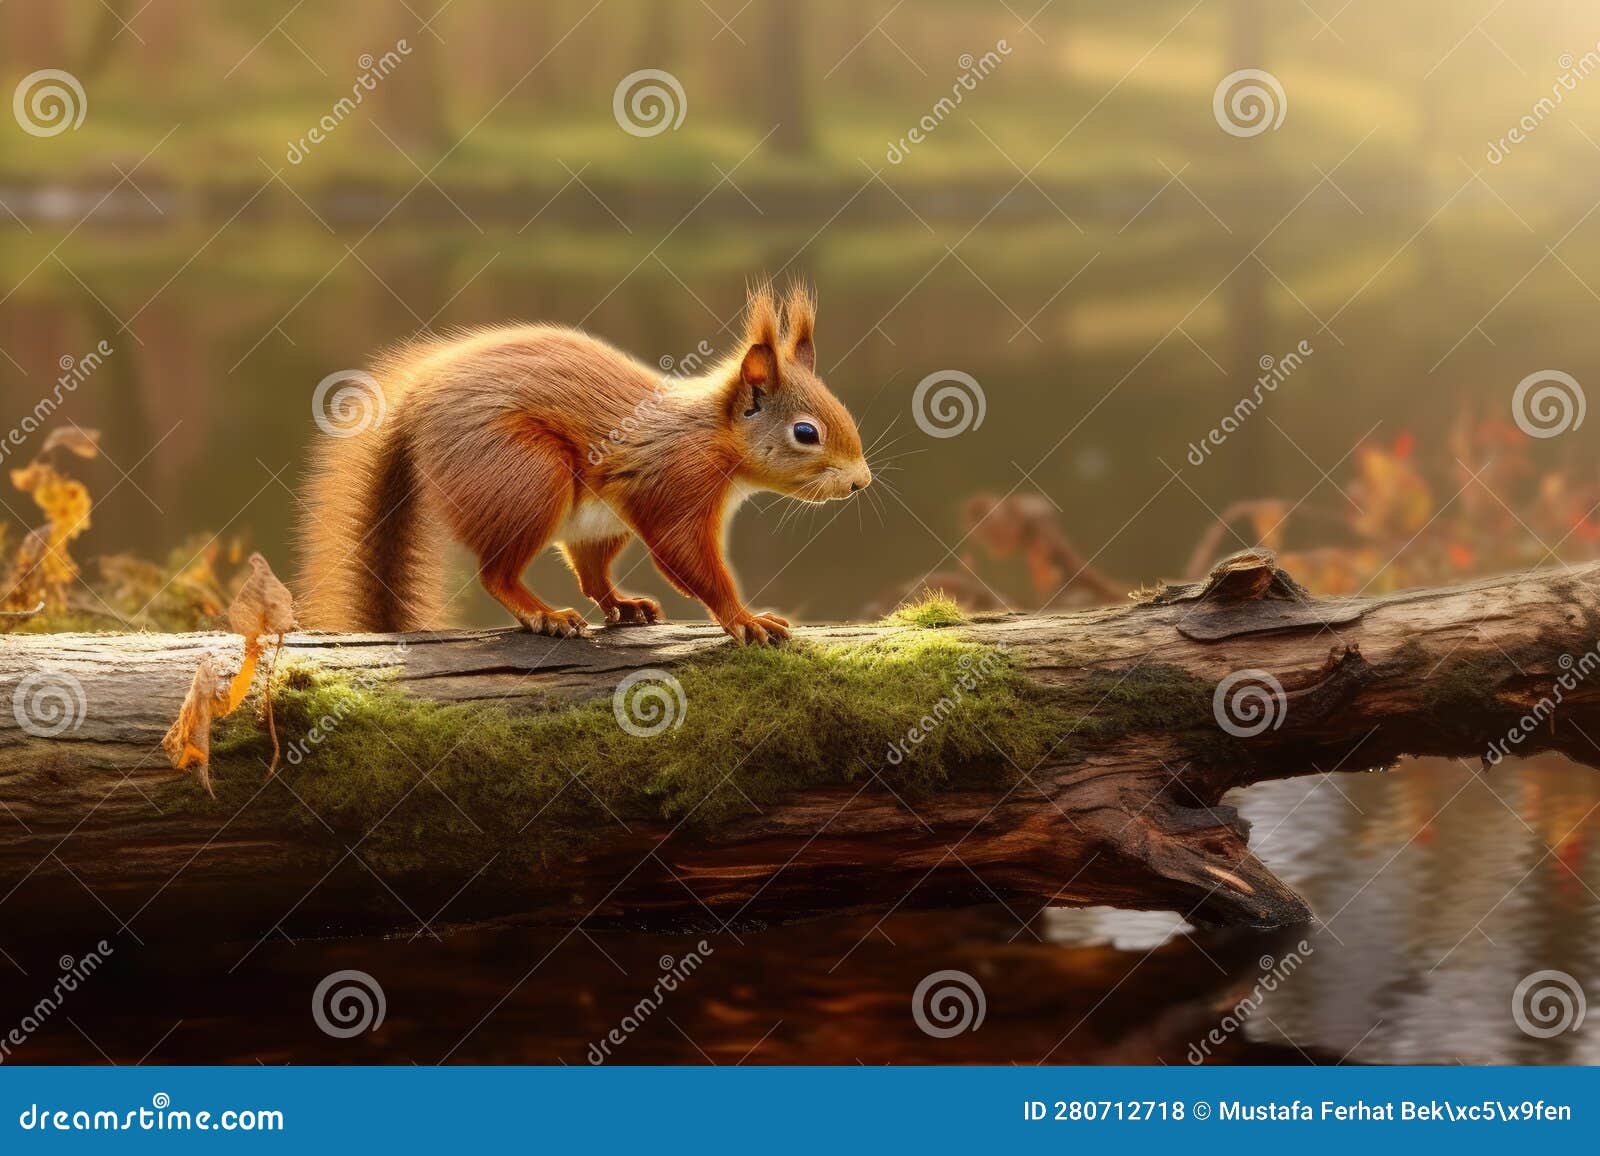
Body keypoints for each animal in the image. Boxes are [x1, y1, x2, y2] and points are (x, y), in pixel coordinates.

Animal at [297, 281, 871, 645]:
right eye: (806, 432)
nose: (861, 482)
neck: (713, 436)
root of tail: (413, 414)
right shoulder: (677, 485)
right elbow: (687, 560)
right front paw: (745, 620)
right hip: (526, 478)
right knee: (496, 575)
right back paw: (544, 615)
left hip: (597, 520)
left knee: (592, 572)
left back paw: (622, 605)